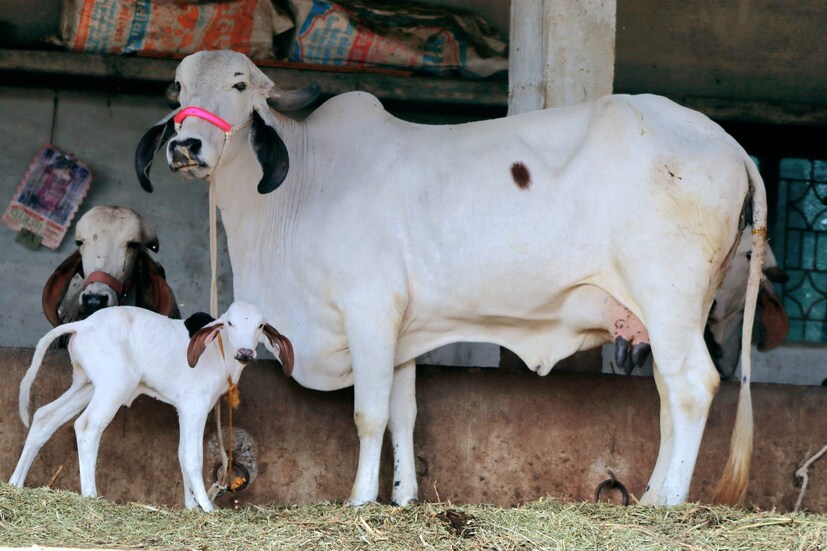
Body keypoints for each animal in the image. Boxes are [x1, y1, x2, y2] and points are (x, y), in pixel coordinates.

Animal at [135, 50, 767, 507]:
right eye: (180, 88)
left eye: (240, 85)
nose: (185, 144)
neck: (298, 192)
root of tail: (728, 143)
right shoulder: (401, 333)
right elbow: (403, 415)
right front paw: (402, 498)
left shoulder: (370, 312)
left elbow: (368, 414)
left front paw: (359, 501)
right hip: (668, 313)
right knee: (667, 394)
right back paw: (655, 495)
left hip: (669, 299)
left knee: (693, 386)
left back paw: (668, 501)